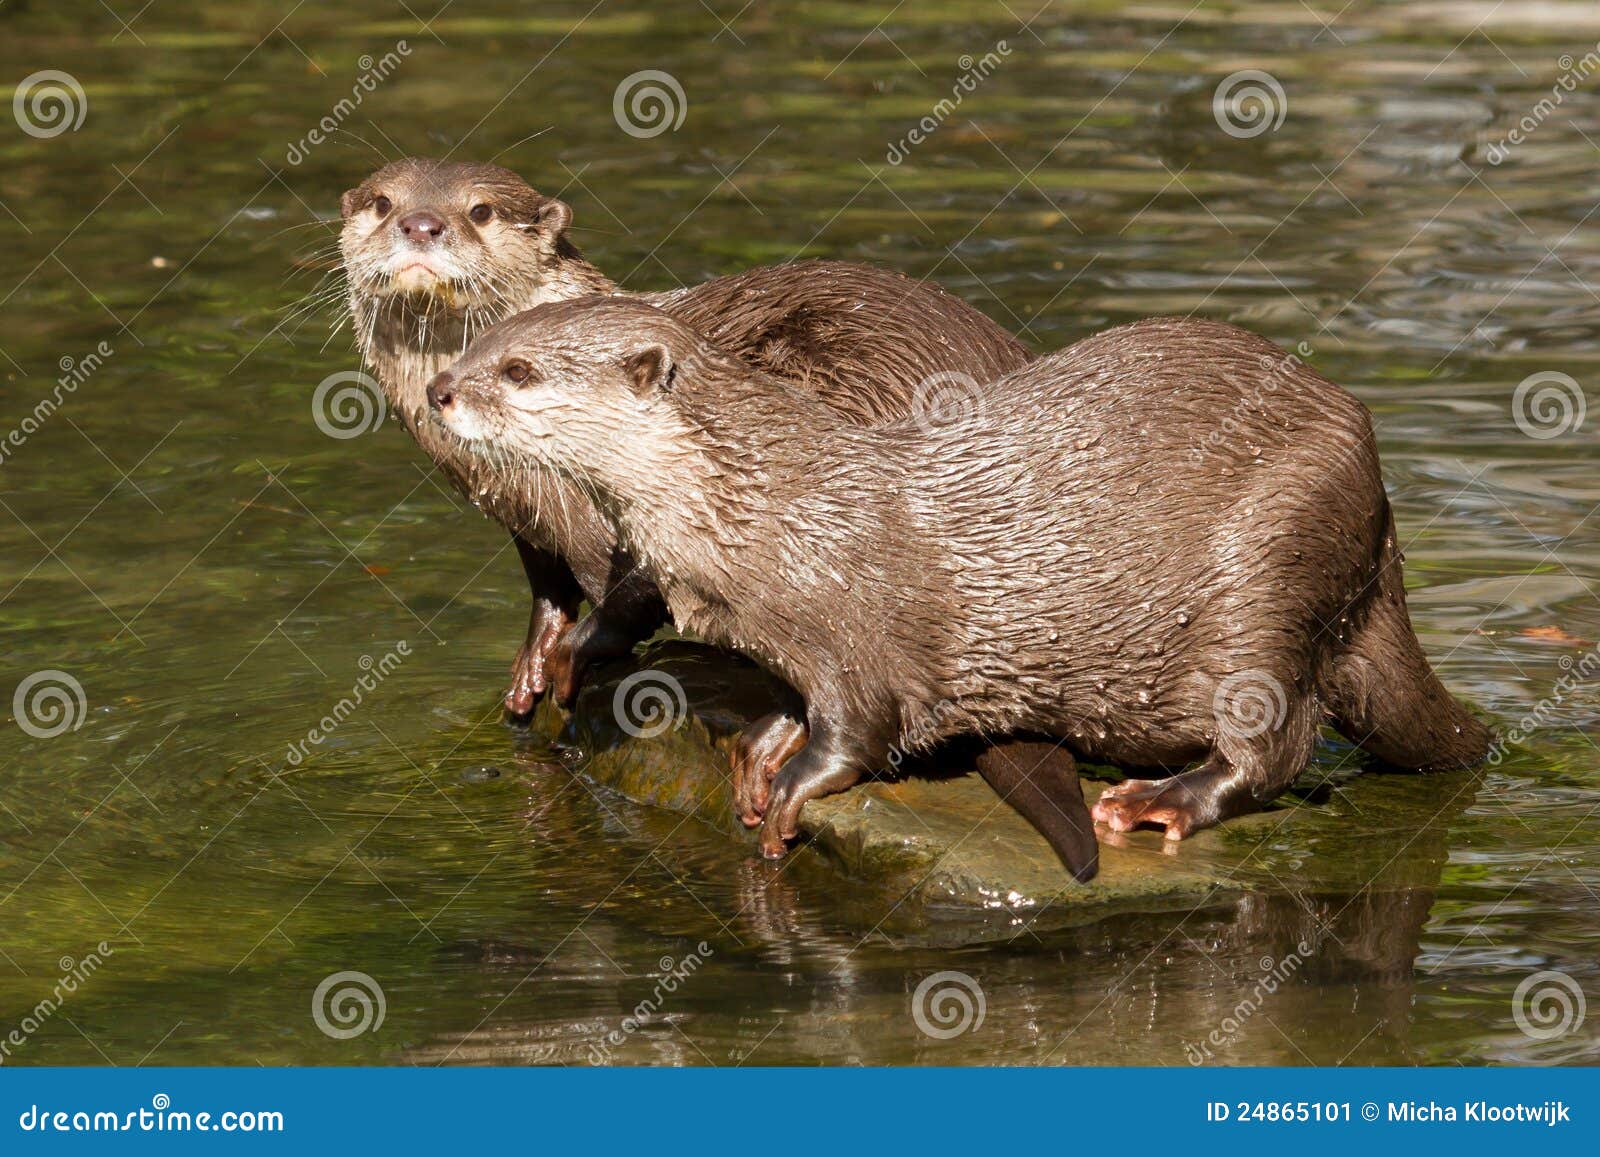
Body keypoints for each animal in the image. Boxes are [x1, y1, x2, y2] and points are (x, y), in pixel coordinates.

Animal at [336, 158, 1028, 737]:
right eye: (382, 201)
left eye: (479, 210)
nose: (420, 224)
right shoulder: (524, 519)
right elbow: (548, 590)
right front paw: (531, 666)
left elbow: (633, 599)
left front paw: (572, 661)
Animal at [426, 298, 1490, 858]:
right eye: (474, 344)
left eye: (518, 371)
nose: (438, 389)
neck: (766, 512)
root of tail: (1376, 489)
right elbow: (793, 697)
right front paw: (765, 741)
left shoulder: (865, 634)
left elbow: (860, 729)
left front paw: (795, 778)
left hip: (1270, 562)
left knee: (1279, 737)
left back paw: (1157, 800)